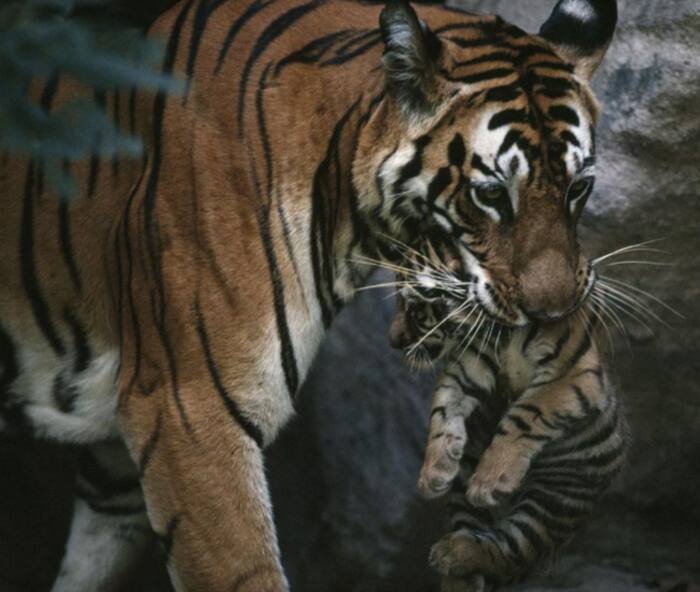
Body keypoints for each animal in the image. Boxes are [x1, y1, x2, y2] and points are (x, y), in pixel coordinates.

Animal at [389, 255, 627, 591]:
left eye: (415, 310)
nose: (393, 341)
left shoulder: (571, 374)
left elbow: (525, 414)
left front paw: (490, 481)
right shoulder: (468, 366)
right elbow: (443, 408)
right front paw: (434, 472)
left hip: (554, 501)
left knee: (509, 551)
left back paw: (453, 552)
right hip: (463, 497)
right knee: (475, 533)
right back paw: (454, 568)